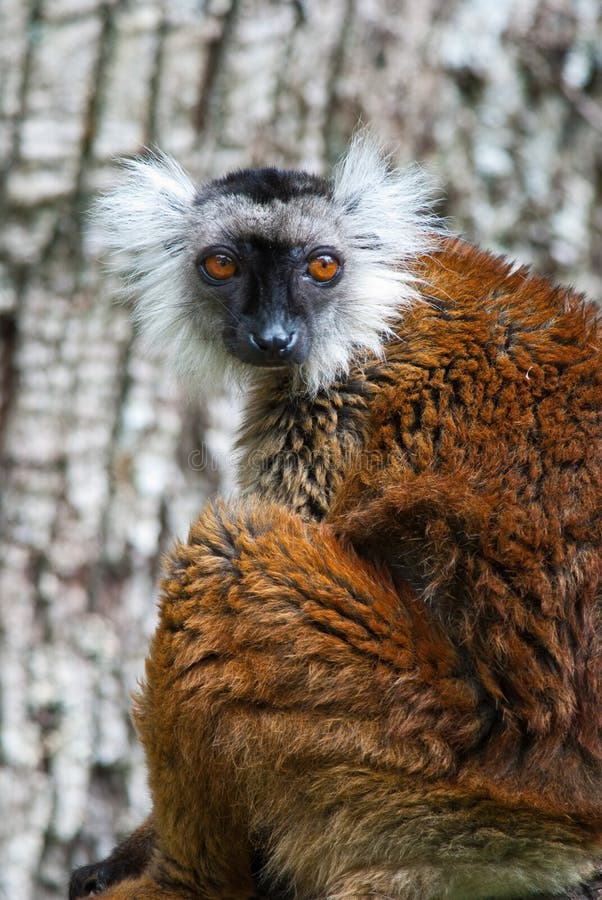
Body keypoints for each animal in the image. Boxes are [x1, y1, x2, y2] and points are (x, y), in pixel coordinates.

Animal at [70, 133, 601, 899]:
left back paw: (183, 879)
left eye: (322, 267)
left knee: (227, 554)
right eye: (221, 265)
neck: (384, 294)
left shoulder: (330, 411)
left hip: (436, 763)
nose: (273, 337)